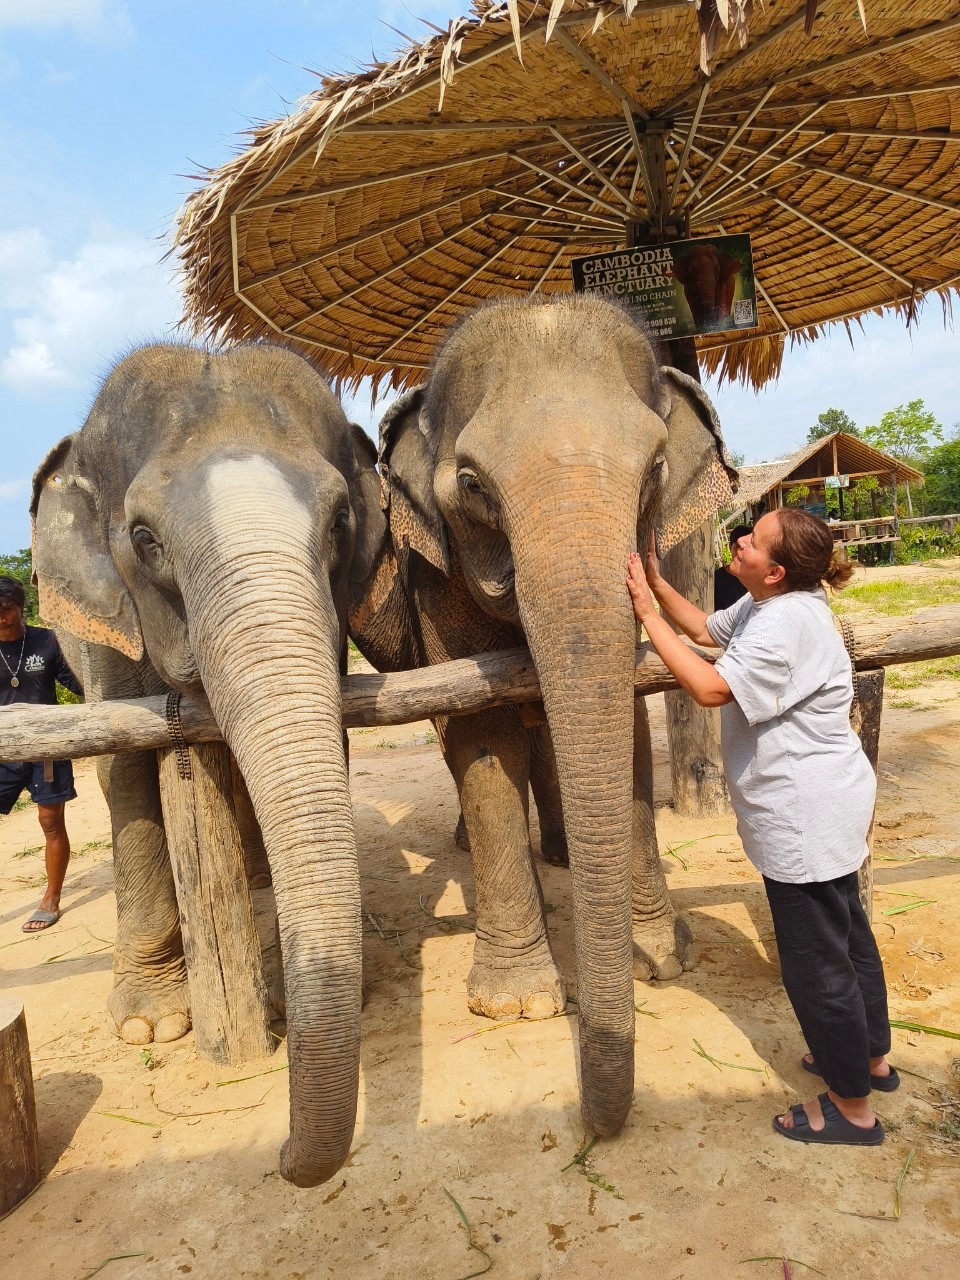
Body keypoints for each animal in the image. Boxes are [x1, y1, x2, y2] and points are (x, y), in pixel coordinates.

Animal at [31, 341, 384, 1187]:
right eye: (144, 538)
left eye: (341, 520)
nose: (283, 1156)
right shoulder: (105, 629)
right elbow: (123, 768)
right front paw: (150, 1025)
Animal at [350, 293, 736, 1140]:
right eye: (471, 483)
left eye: (657, 470)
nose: (599, 1124)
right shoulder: (435, 580)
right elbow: (485, 737)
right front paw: (521, 1005)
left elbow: (624, 723)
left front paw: (661, 960)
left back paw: (558, 852)